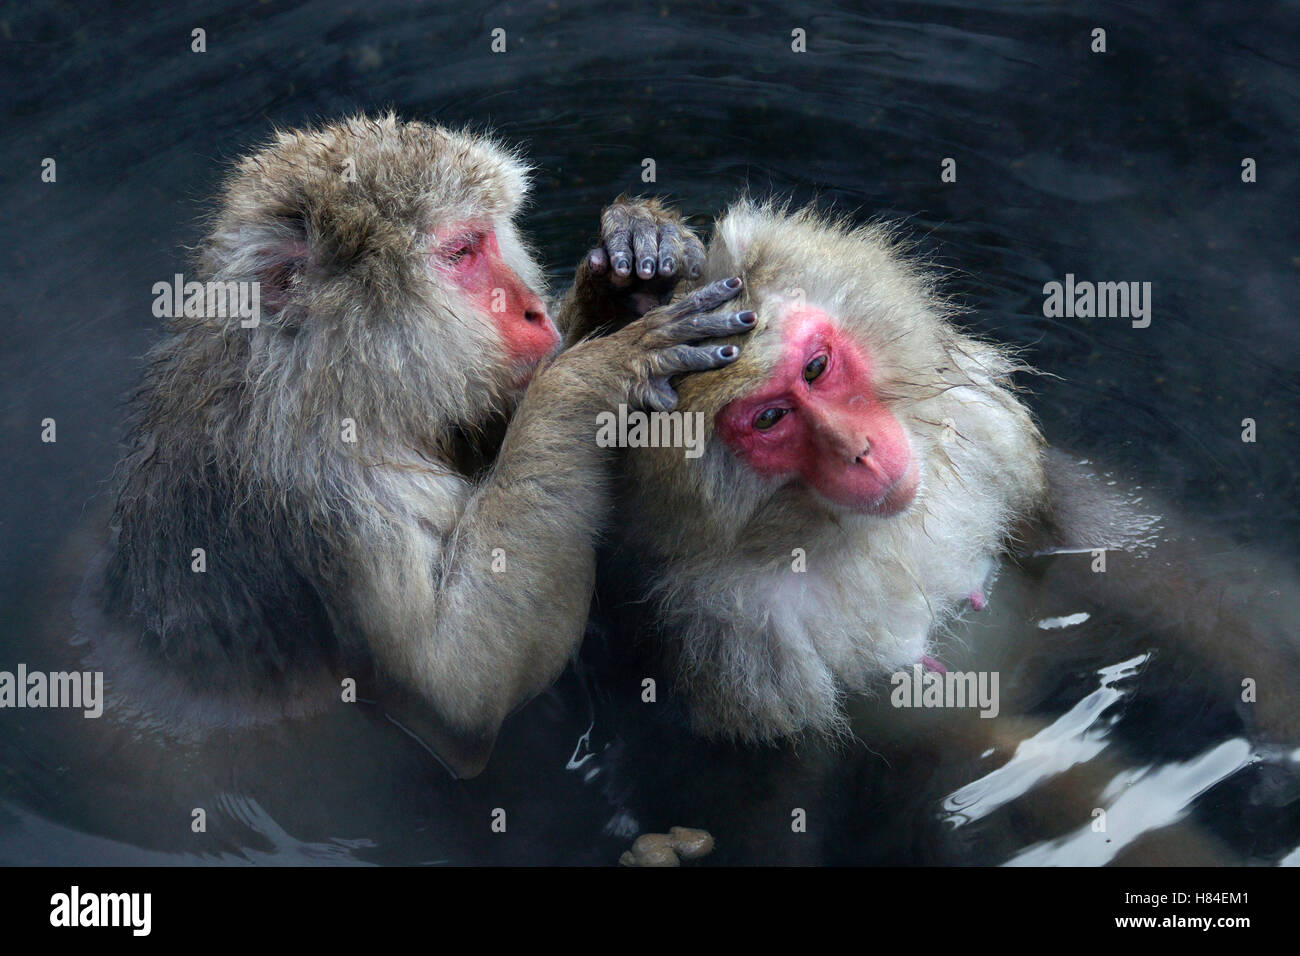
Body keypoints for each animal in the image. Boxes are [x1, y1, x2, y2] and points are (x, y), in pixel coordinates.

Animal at [89, 114, 754, 780]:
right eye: (461, 253)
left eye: (488, 240)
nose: (534, 312)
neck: (317, 379)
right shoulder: (325, 487)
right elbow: (458, 690)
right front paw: (598, 374)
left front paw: (633, 264)